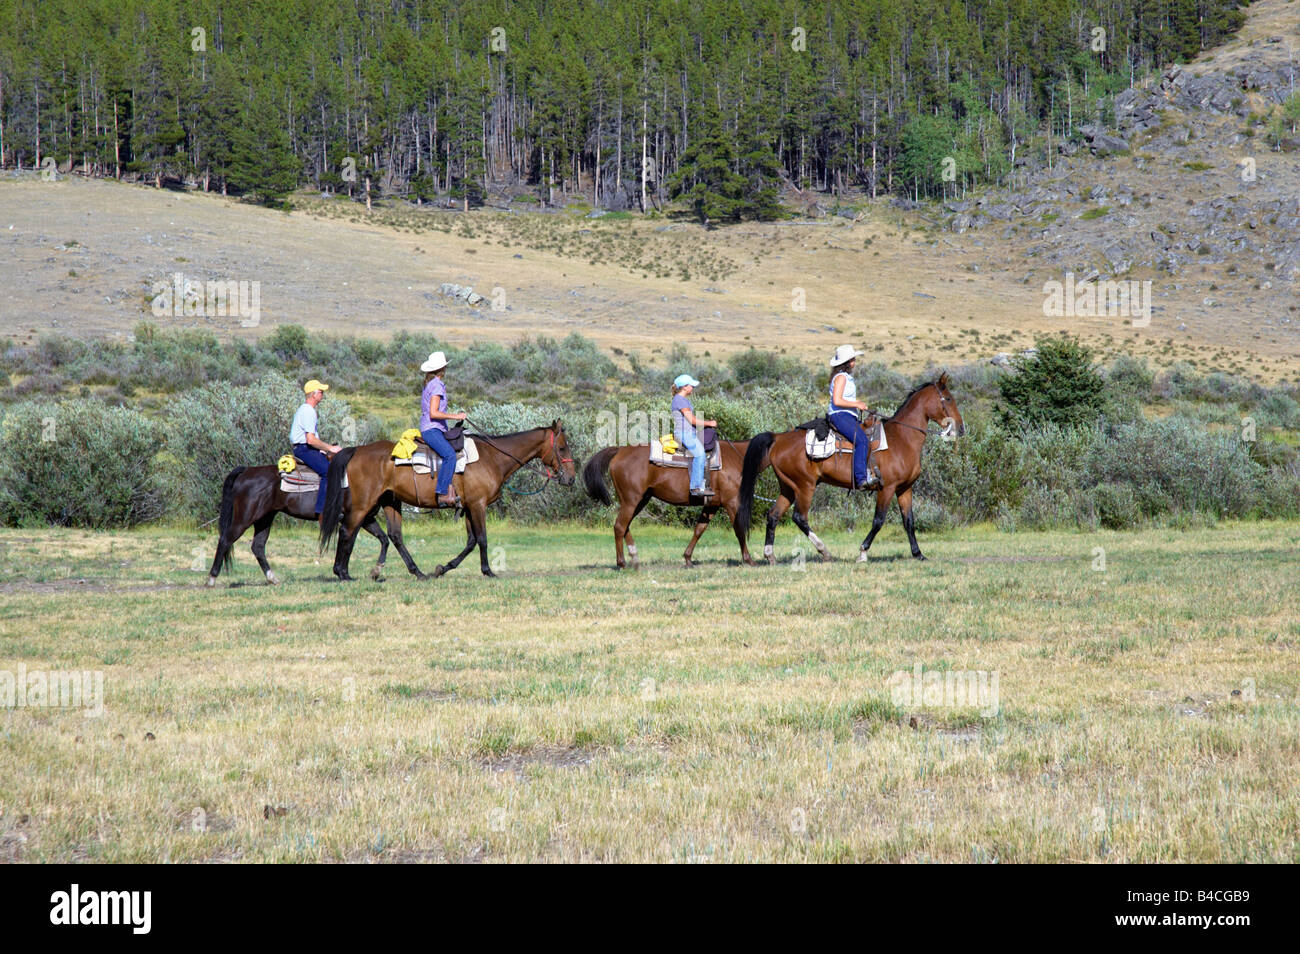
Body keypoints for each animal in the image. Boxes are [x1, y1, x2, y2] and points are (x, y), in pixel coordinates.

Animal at [206, 464, 419, 587]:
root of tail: (247, 471)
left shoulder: (366, 518)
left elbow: (383, 539)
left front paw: (376, 571)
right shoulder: (355, 519)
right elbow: (348, 544)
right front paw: (344, 573)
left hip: (265, 519)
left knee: (257, 546)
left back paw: (272, 578)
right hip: (245, 517)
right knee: (225, 540)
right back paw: (211, 579)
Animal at [318, 421, 576, 580]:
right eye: (563, 447)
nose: (571, 478)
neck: (493, 457)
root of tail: (357, 450)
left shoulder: (468, 507)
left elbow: (471, 541)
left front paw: (442, 568)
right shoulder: (478, 505)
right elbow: (482, 539)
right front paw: (488, 571)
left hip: (389, 501)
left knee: (394, 536)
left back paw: (417, 573)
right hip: (364, 503)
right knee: (348, 530)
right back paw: (342, 572)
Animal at [583, 438, 758, 568]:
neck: (738, 456)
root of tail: (620, 450)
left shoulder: (712, 504)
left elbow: (699, 530)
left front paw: (688, 558)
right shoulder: (732, 502)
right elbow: (739, 530)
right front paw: (748, 559)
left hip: (640, 500)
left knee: (625, 527)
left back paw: (634, 557)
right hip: (630, 501)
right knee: (619, 526)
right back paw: (622, 563)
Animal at [738, 374, 964, 563]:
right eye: (948, 399)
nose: (961, 428)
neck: (902, 439)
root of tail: (778, 438)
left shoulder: (904, 489)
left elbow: (909, 521)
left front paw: (918, 554)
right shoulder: (887, 488)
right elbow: (878, 521)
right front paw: (863, 553)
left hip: (788, 487)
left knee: (773, 515)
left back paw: (770, 555)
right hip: (804, 486)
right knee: (799, 517)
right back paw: (825, 552)